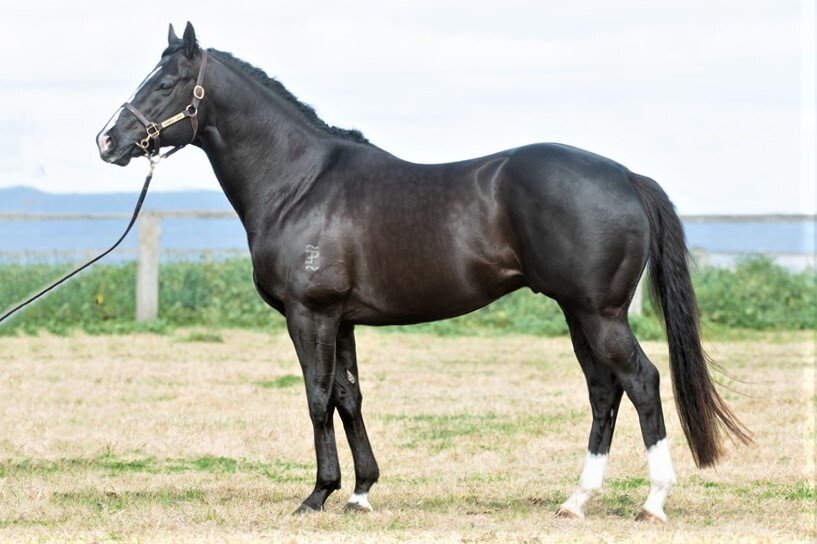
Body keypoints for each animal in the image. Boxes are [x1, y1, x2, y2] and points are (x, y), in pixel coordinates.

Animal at [96, 22, 750, 522]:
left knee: (640, 381)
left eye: (165, 83)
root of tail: (625, 176)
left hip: (599, 313)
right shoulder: (342, 320)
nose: (108, 141)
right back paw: (577, 500)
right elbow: (349, 397)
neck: (300, 182)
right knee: (603, 391)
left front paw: (317, 495)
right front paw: (360, 492)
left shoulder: (311, 315)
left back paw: (653, 502)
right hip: (577, 314)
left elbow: (316, 397)